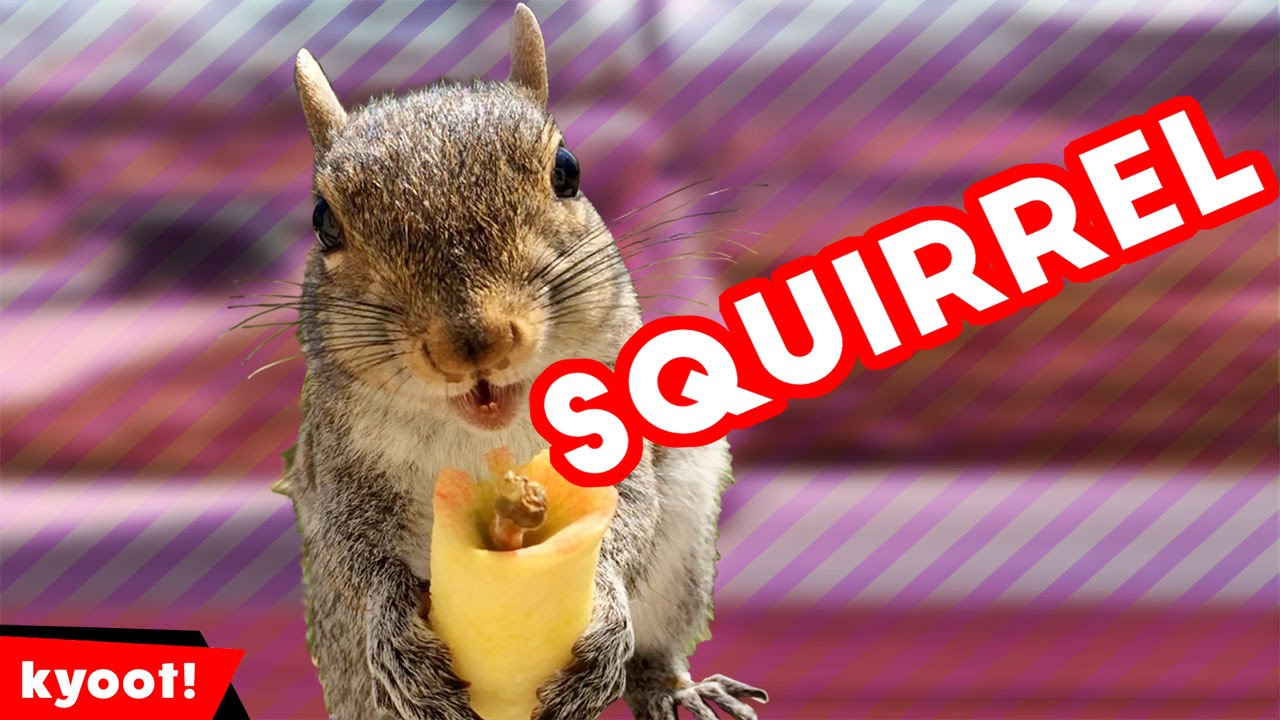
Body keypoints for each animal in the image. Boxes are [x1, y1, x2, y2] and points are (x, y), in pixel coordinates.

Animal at [274, 5, 768, 719]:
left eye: (567, 170)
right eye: (323, 221)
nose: (474, 340)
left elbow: (627, 513)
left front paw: (607, 609)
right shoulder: (336, 462)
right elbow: (354, 550)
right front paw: (397, 640)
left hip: (684, 554)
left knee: (657, 642)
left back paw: (672, 686)